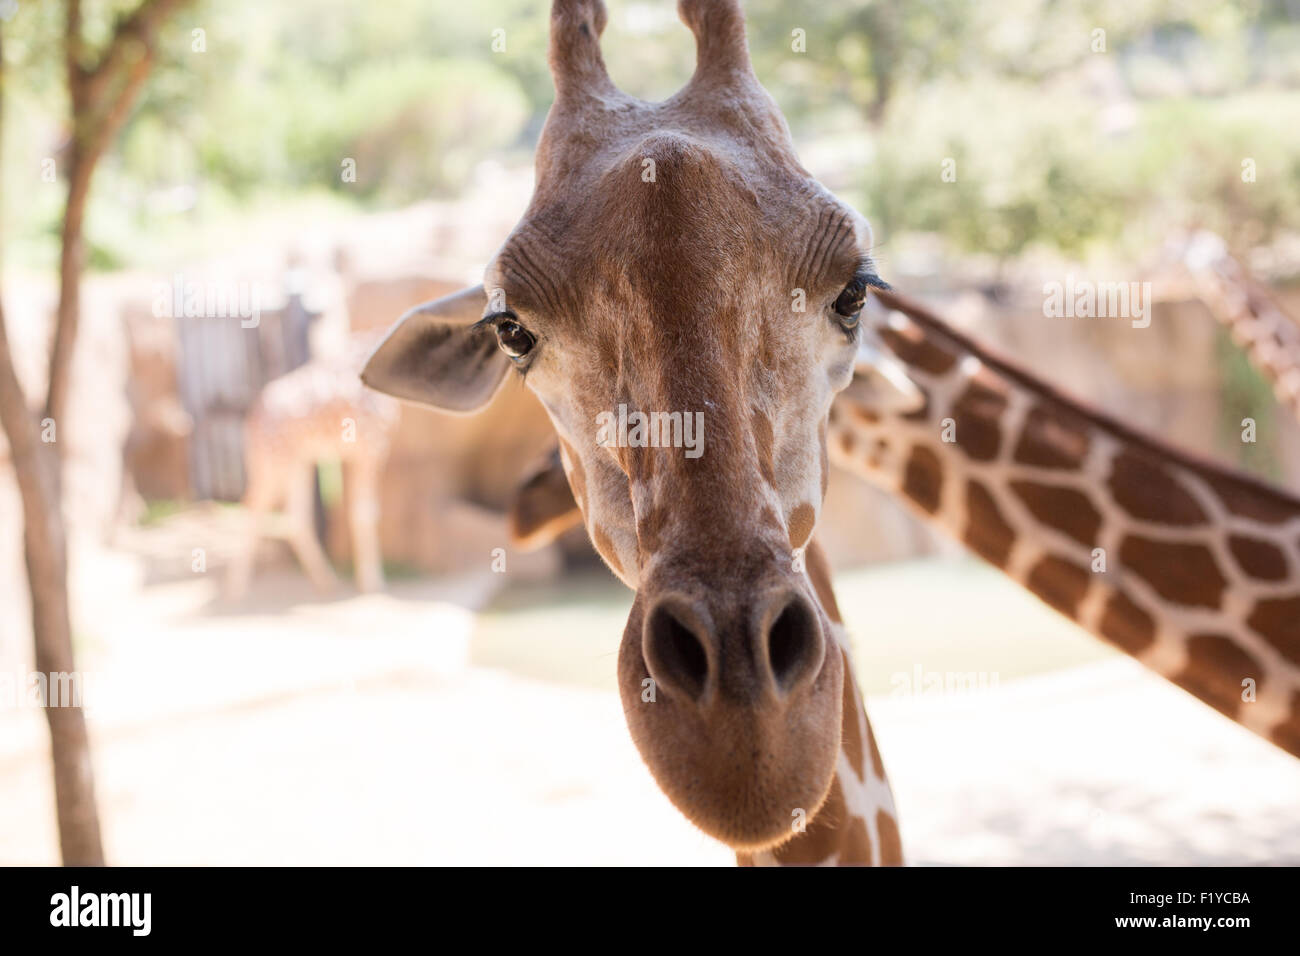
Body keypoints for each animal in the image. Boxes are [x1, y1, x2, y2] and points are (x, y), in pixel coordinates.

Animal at [226, 336, 400, 598]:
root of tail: (251, 418)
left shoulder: (362, 450)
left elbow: (362, 512)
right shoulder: (371, 445)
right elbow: (364, 514)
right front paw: (372, 583)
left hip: (296, 462)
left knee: (294, 515)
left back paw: (326, 581)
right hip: (274, 464)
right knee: (252, 504)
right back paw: (236, 587)